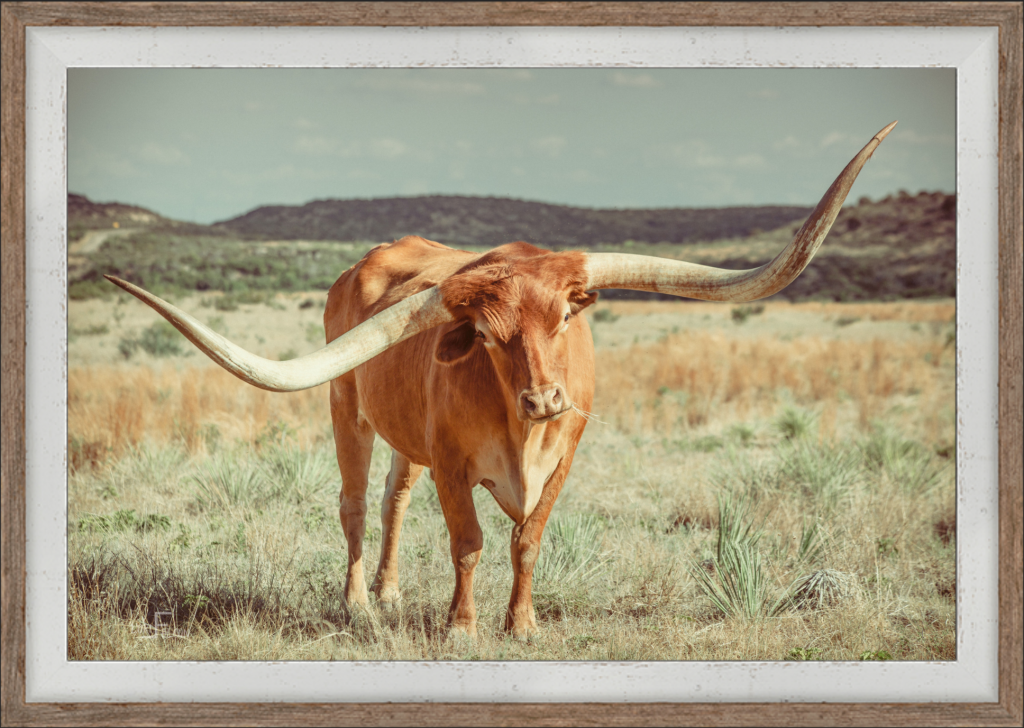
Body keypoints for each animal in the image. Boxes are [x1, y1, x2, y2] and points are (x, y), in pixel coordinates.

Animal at [106, 122, 895, 638]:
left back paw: (389, 593)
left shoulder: (563, 460)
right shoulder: (455, 466)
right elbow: (470, 544)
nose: (544, 397)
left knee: (393, 501)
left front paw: (523, 624)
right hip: (346, 411)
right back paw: (358, 601)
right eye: (486, 336)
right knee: (354, 505)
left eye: (565, 316)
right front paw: (462, 626)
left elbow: (527, 543)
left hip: (406, 437)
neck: (522, 433)